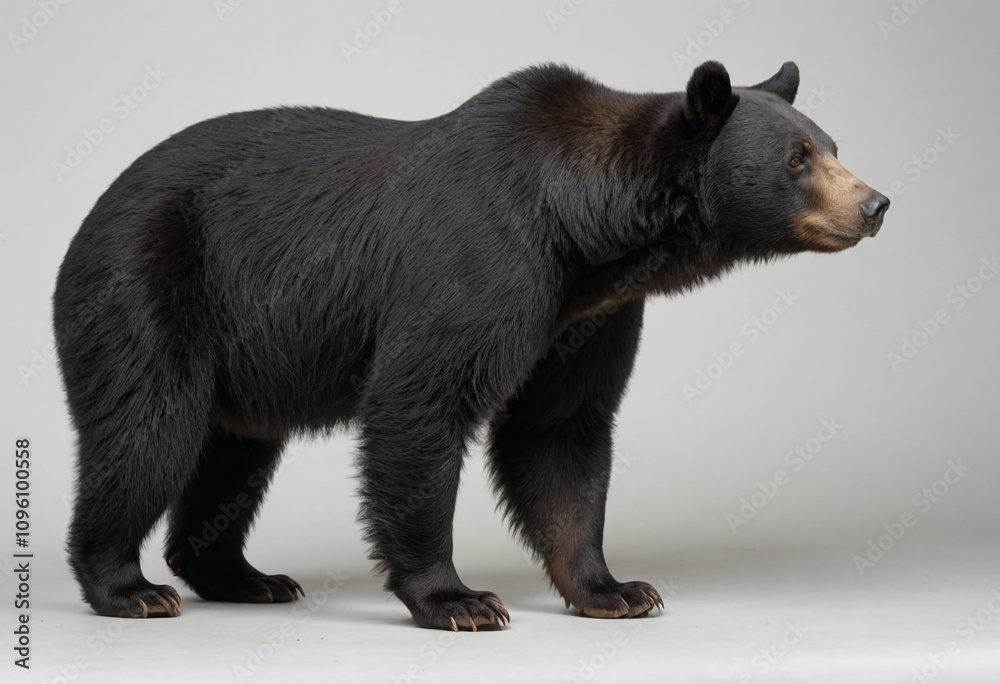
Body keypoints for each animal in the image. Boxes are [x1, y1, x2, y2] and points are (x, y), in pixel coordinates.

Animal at [53, 60, 888, 631]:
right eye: (796, 158)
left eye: (832, 143)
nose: (876, 203)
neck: (582, 230)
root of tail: (92, 214)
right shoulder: (482, 264)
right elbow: (421, 405)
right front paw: (457, 598)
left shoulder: (586, 317)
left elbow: (560, 434)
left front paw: (615, 589)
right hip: (149, 286)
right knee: (148, 431)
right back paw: (128, 586)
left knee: (234, 454)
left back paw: (244, 576)